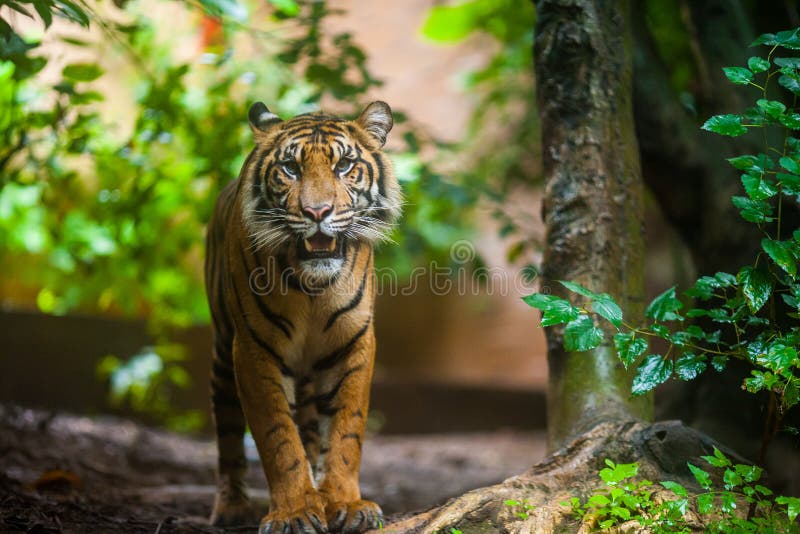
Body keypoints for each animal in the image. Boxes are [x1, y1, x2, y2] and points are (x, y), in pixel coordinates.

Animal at [204, 100, 401, 534]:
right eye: (291, 169)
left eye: (344, 165)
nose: (317, 211)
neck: (312, 287)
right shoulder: (253, 350)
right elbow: (278, 438)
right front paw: (294, 511)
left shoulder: (353, 345)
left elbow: (345, 433)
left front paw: (346, 503)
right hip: (223, 355)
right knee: (228, 432)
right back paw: (232, 506)